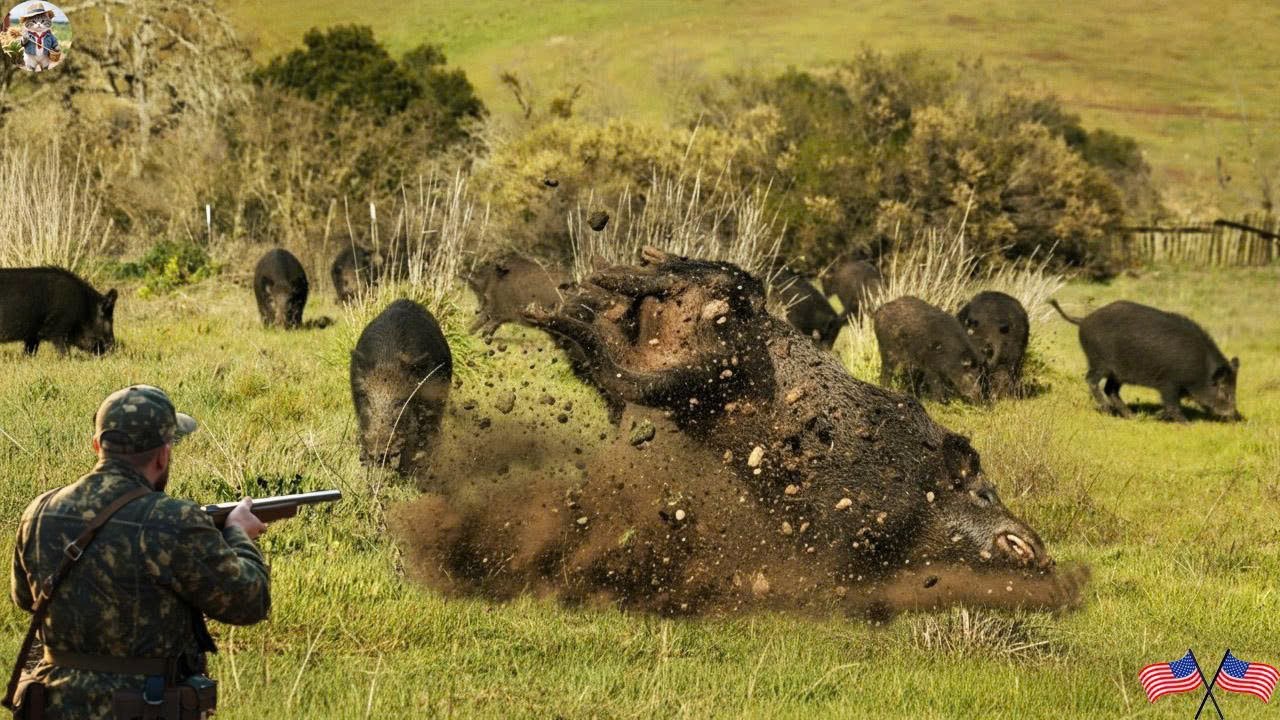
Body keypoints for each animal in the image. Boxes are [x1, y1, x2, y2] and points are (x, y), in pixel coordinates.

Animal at [1050, 299, 1241, 422]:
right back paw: (1108, 410)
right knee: (1091, 380)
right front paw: (1187, 424)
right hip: (1099, 362)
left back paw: (1132, 417)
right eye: (1225, 391)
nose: (1234, 416)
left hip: (1118, 373)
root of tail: (1083, 320)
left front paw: (1155, 417)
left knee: (1111, 390)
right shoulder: (1169, 383)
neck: (1200, 370)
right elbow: (1172, 405)